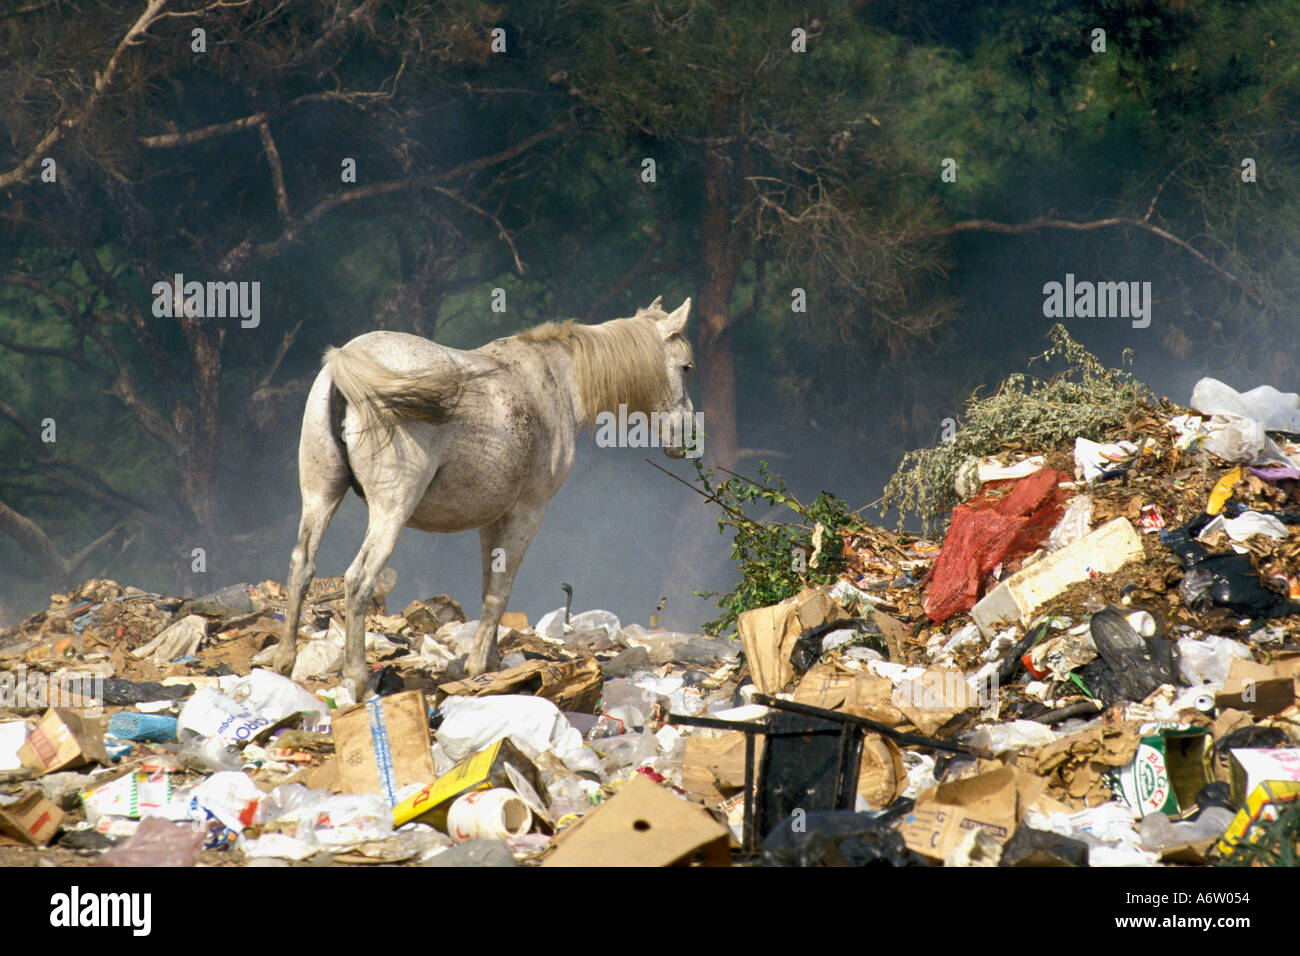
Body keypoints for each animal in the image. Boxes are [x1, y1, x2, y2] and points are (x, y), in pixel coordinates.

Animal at [273, 297, 696, 696]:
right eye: (687, 367)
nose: (690, 436)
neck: (553, 380)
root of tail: (345, 363)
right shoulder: (528, 511)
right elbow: (500, 590)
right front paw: (478, 666)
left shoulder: (491, 518)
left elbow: (489, 583)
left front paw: (487, 661)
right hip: (391, 511)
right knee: (360, 579)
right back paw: (358, 678)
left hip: (320, 496)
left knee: (302, 567)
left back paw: (284, 661)